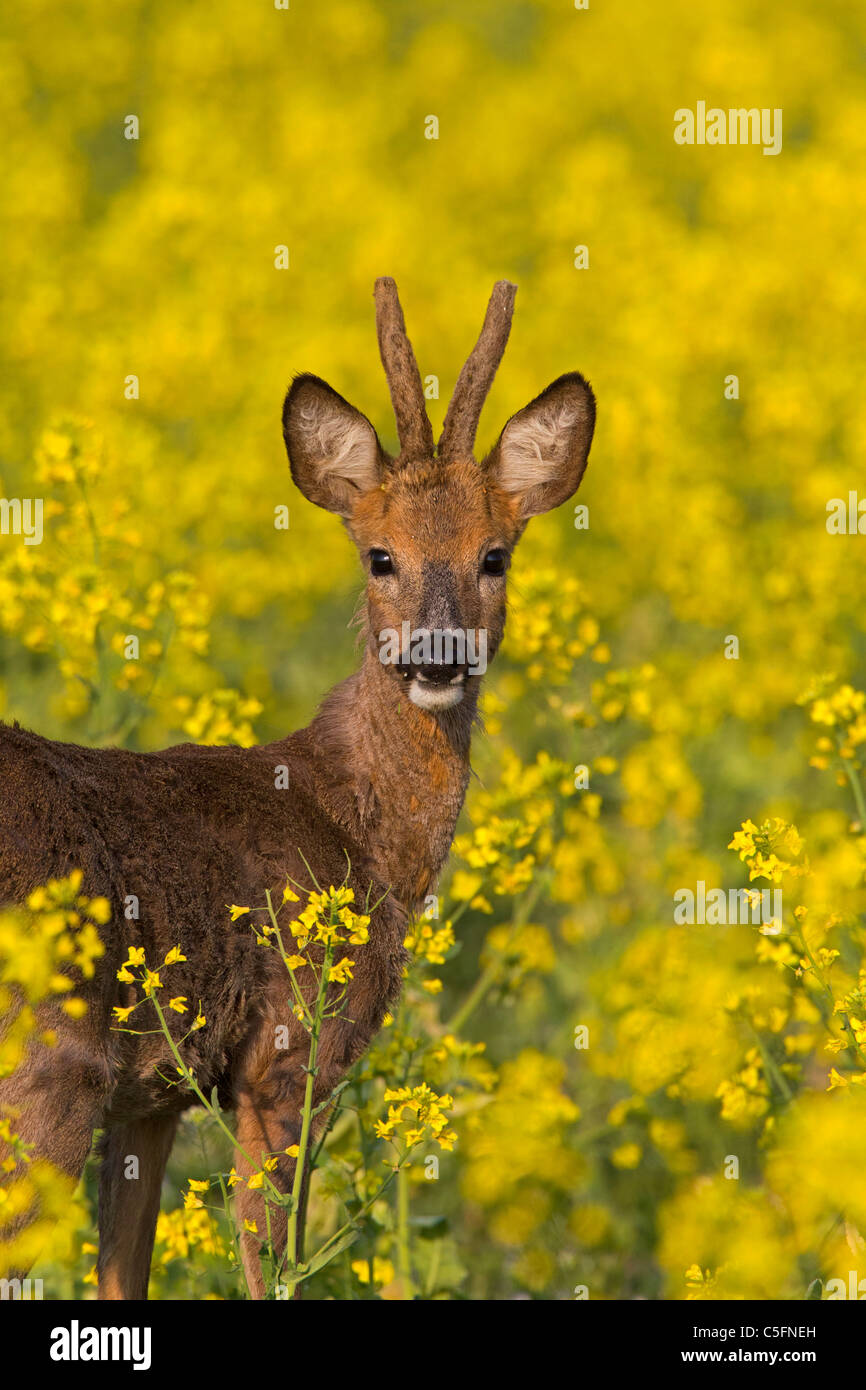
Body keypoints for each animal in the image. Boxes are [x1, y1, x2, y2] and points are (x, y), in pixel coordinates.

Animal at [0, 278, 595, 1299]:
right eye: (379, 555)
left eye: (496, 555)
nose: (437, 656)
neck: (354, 818)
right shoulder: (285, 1056)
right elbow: (269, 1268)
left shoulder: (153, 1095)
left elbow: (127, 1269)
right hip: (47, 1064)